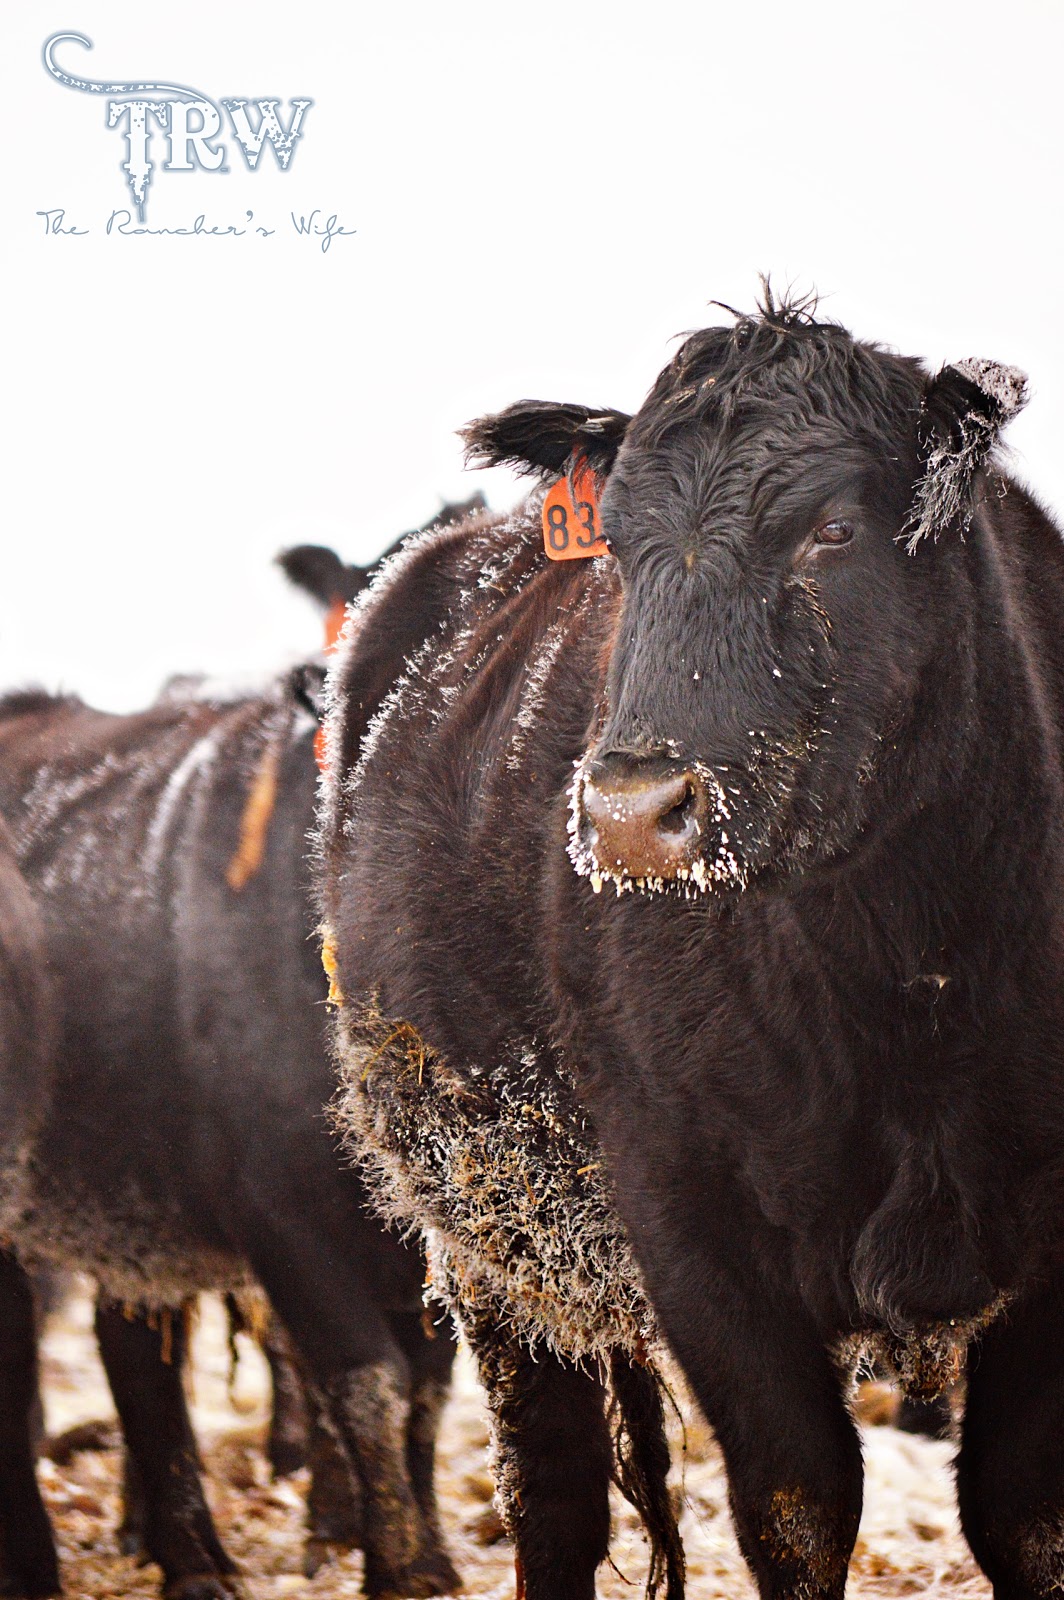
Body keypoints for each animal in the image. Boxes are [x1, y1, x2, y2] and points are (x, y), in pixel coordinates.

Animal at [0, 672, 458, 1600]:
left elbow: (427, 1396)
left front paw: (430, 1554)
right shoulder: (281, 1217)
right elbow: (369, 1386)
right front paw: (393, 1567)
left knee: (136, 1358)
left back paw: (185, 1554)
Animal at [319, 290, 1064, 1600]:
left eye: (831, 529)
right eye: (614, 546)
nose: (628, 810)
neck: (905, 974)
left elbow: (1022, 1512)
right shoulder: (687, 1216)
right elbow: (796, 1503)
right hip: (485, 1226)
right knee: (551, 1488)